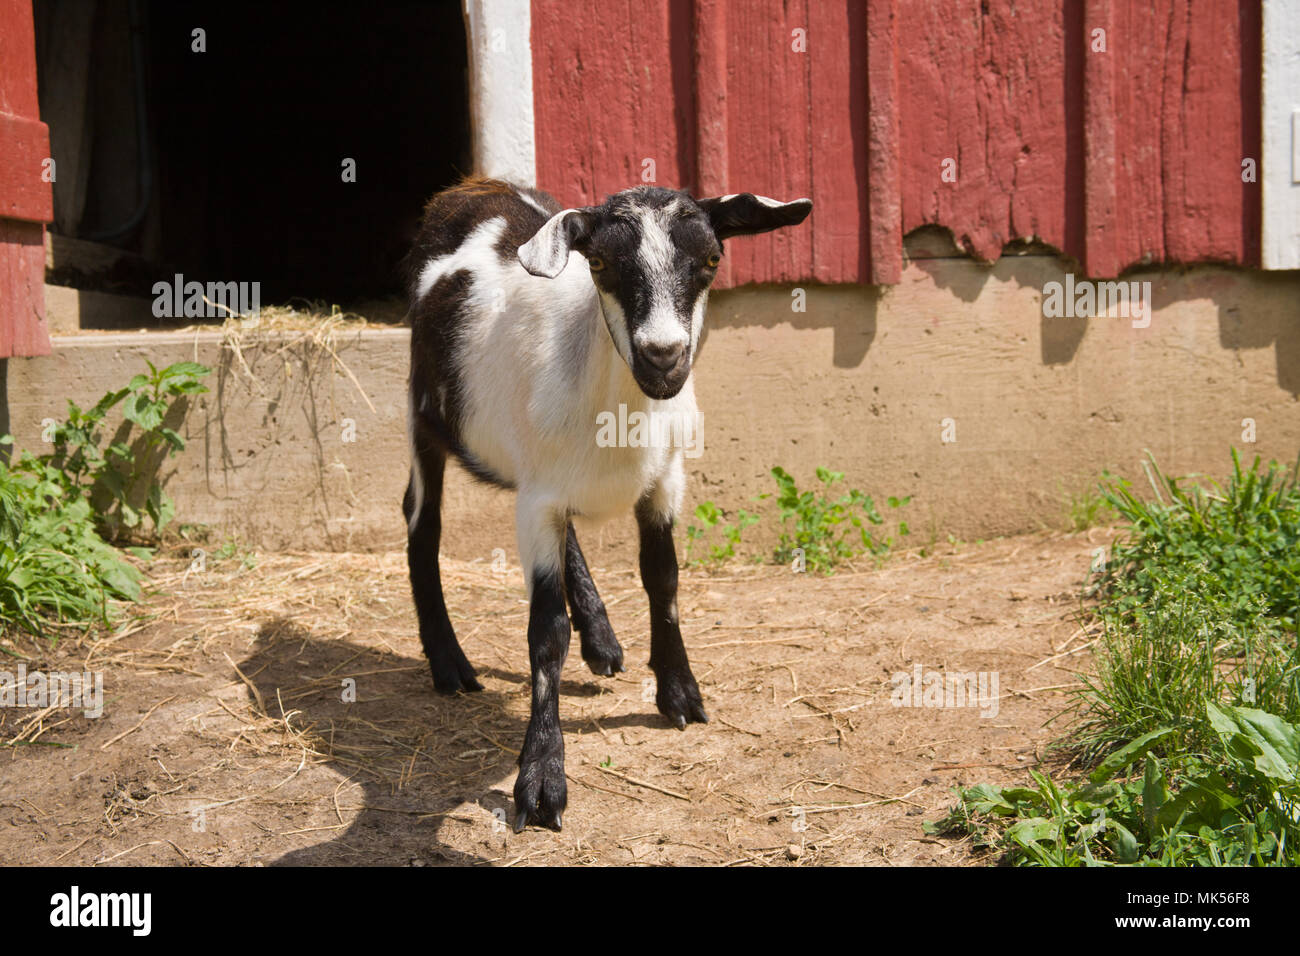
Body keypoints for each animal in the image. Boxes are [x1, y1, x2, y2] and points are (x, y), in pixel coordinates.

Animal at [402, 177, 811, 831]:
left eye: (711, 259)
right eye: (599, 264)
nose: (663, 355)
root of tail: (475, 185)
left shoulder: (663, 480)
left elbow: (663, 581)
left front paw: (679, 692)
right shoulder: (537, 501)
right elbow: (546, 631)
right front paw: (541, 778)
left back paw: (601, 639)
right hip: (423, 413)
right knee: (422, 521)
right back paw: (448, 662)